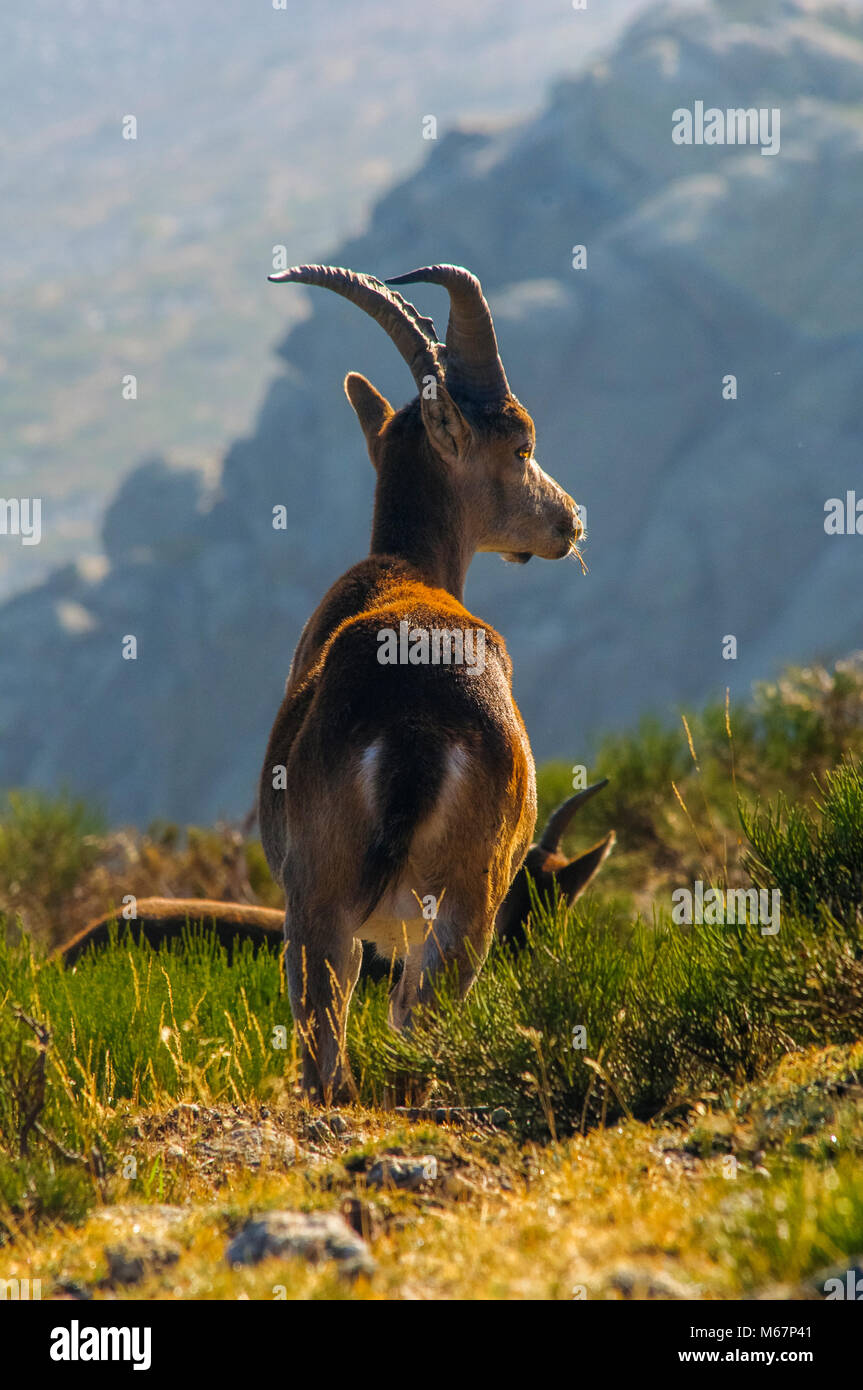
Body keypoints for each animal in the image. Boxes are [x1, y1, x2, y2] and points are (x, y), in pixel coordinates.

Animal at [256, 263, 584, 1103]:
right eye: (521, 443)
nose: (568, 520)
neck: (405, 572)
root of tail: (416, 727)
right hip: (462, 903)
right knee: (405, 1024)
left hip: (323, 902)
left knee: (330, 1043)